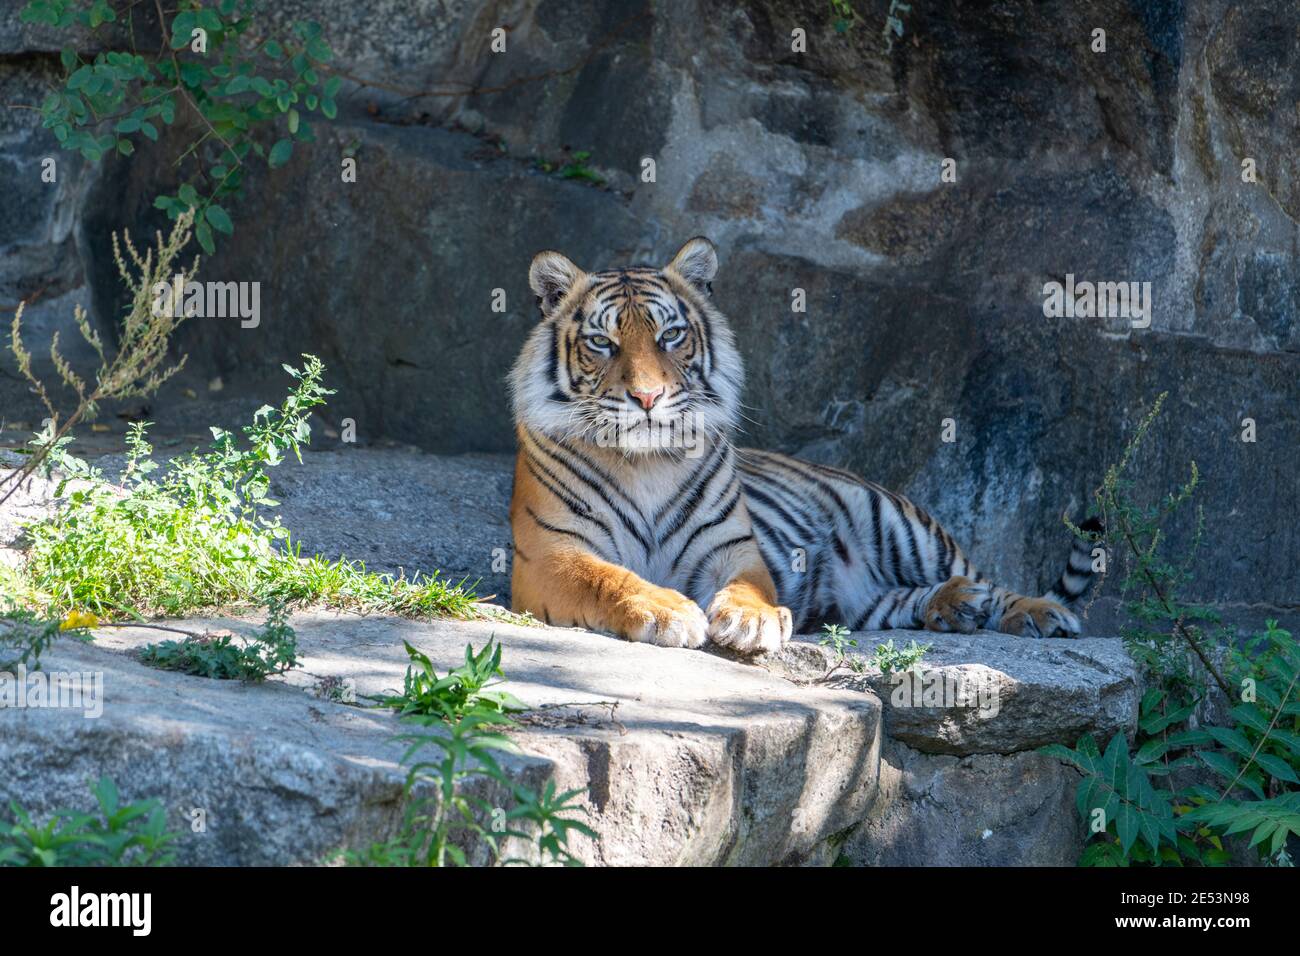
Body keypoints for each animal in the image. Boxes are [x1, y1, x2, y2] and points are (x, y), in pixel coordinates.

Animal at [508, 237, 1099, 656]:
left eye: (669, 336)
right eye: (601, 342)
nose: (647, 397)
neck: (647, 464)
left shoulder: (733, 548)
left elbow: (752, 587)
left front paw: (753, 620)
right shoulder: (552, 554)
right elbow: (607, 577)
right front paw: (665, 611)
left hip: (898, 522)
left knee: (989, 581)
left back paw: (1034, 611)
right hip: (860, 604)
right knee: (899, 602)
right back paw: (953, 606)